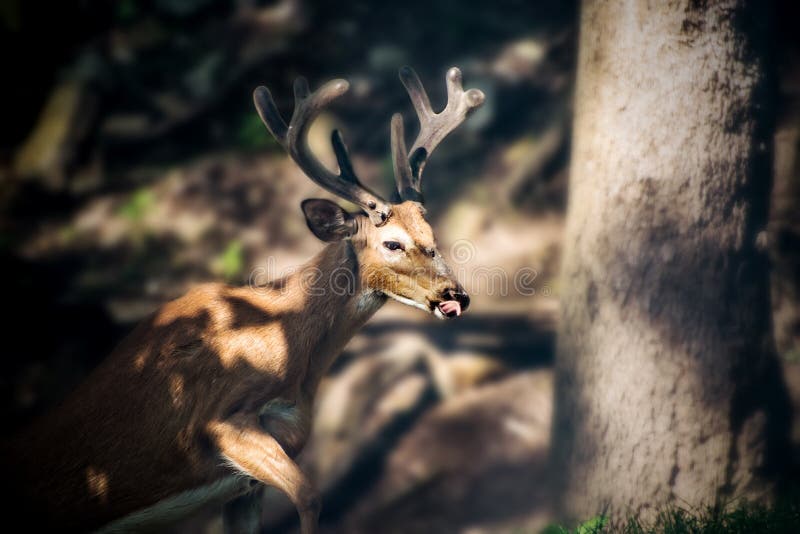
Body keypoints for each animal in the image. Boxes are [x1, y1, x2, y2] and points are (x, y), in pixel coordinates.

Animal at [3, 66, 484, 533]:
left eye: (431, 234)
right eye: (392, 243)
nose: (455, 295)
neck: (287, 345)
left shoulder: (241, 486)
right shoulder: (220, 422)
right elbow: (311, 497)